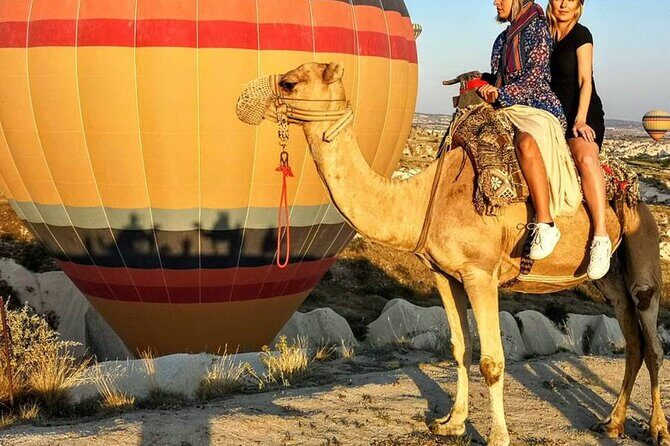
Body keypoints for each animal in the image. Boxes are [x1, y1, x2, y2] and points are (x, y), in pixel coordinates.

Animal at [237, 62, 669, 446]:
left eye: (290, 82)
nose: (244, 100)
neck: (423, 199)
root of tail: (634, 190)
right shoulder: (445, 275)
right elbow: (460, 349)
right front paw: (451, 423)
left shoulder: (481, 274)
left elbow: (492, 361)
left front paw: (497, 437)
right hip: (611, 277)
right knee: (632, 338)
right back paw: (611, 423)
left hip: (643, 250)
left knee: (652, 341)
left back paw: (656, 430)